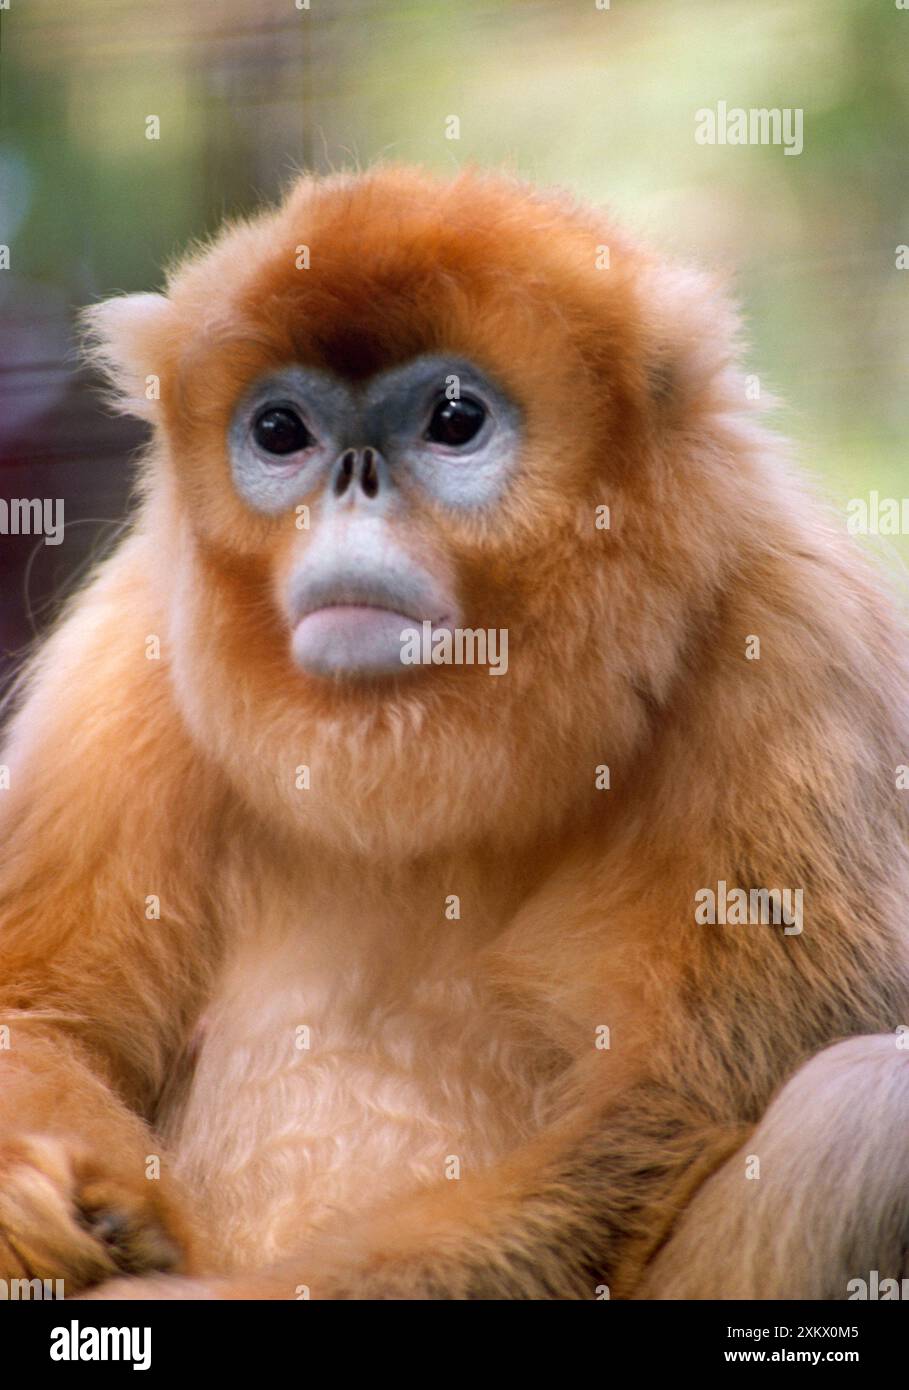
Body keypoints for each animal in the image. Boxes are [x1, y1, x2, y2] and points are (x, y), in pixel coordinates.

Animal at [1, 164, 908, 1301]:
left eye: (454, 418)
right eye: (281, 433)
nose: (352, 479)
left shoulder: (795, 642)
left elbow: (649, 1124)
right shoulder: (130, 648)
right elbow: (38, 1017)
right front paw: (34, 1200)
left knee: (862, 1109)